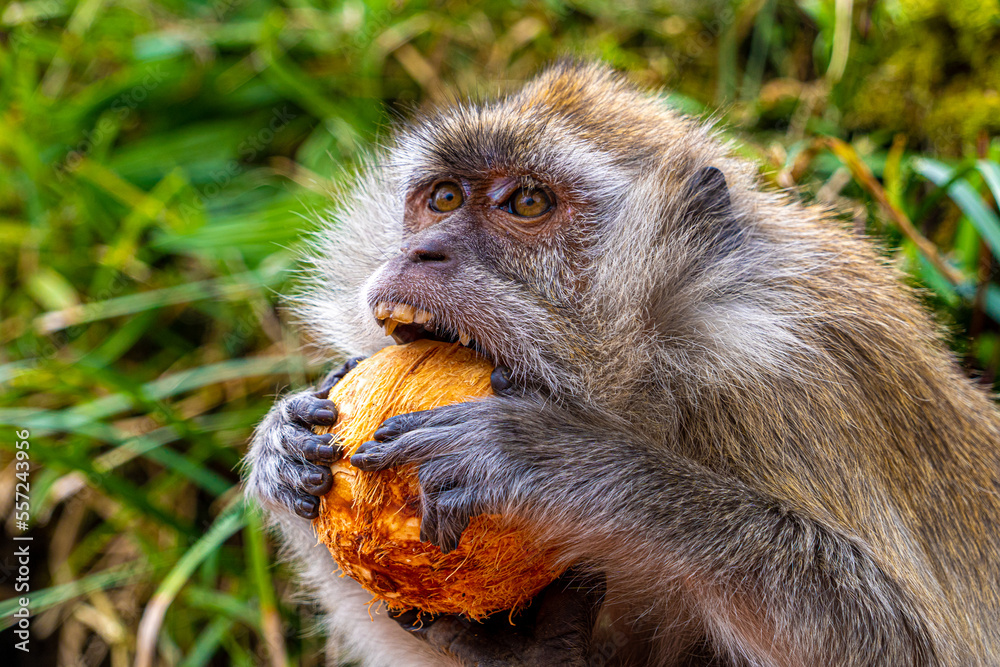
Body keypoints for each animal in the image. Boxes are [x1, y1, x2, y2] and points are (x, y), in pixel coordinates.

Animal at [242, 61, 1000, 666]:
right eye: (444, 198)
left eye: (528, 202)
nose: (421, 252)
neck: (664, 372)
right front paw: (280, 441)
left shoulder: (783, 377)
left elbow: (902, 642)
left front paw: (563, 464)